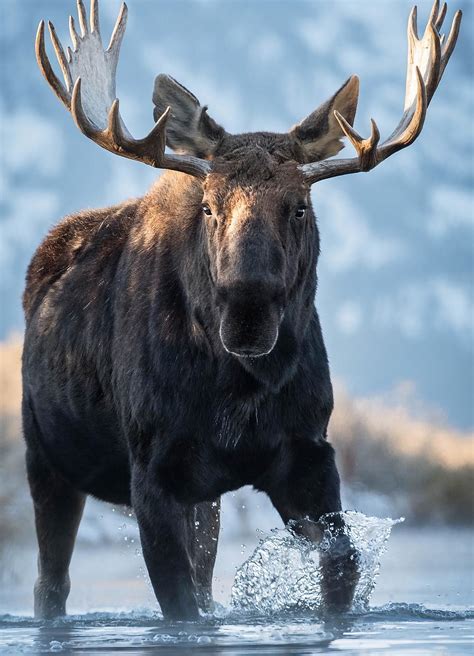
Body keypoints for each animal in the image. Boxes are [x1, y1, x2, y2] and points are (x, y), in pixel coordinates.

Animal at [23, 0, 461, 620]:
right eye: (208, 205)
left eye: (299, 206)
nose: (247, 314)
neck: (237, 389)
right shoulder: (152, 471)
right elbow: (178, 602)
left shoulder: (307, 452)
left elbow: (341, 565)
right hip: (46, 458)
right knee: (50, 584)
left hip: (202, 499)